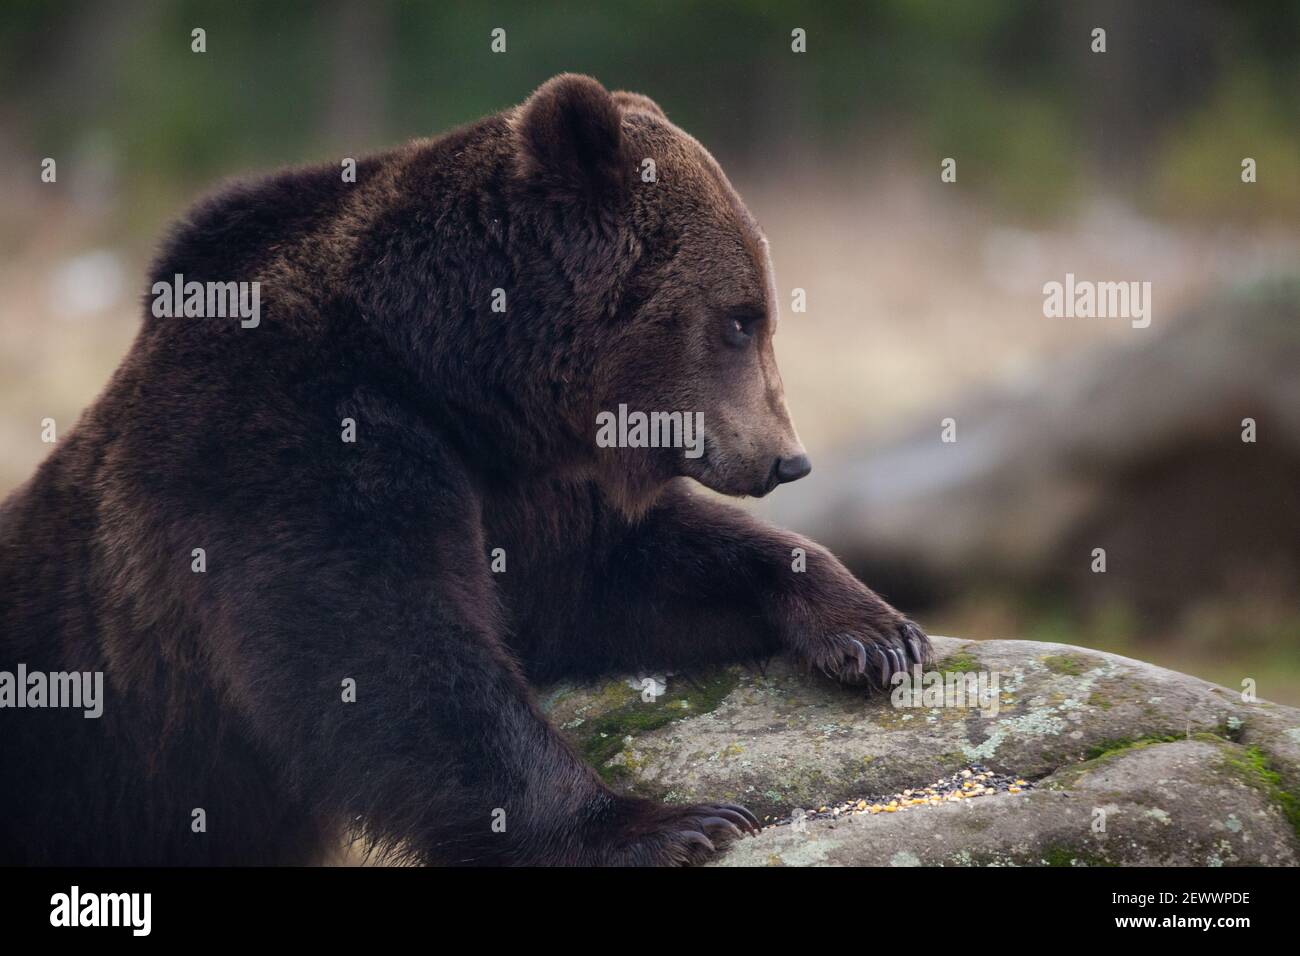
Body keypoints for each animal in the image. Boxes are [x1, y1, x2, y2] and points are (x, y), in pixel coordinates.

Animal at [0, 74, 930, 866]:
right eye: (742, 319)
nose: (787, 457)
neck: (448, 371)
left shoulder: (526, 488)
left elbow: (614, 575)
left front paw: (874, 634)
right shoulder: (290, 439)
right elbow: (392, 653)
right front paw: (669, 823)